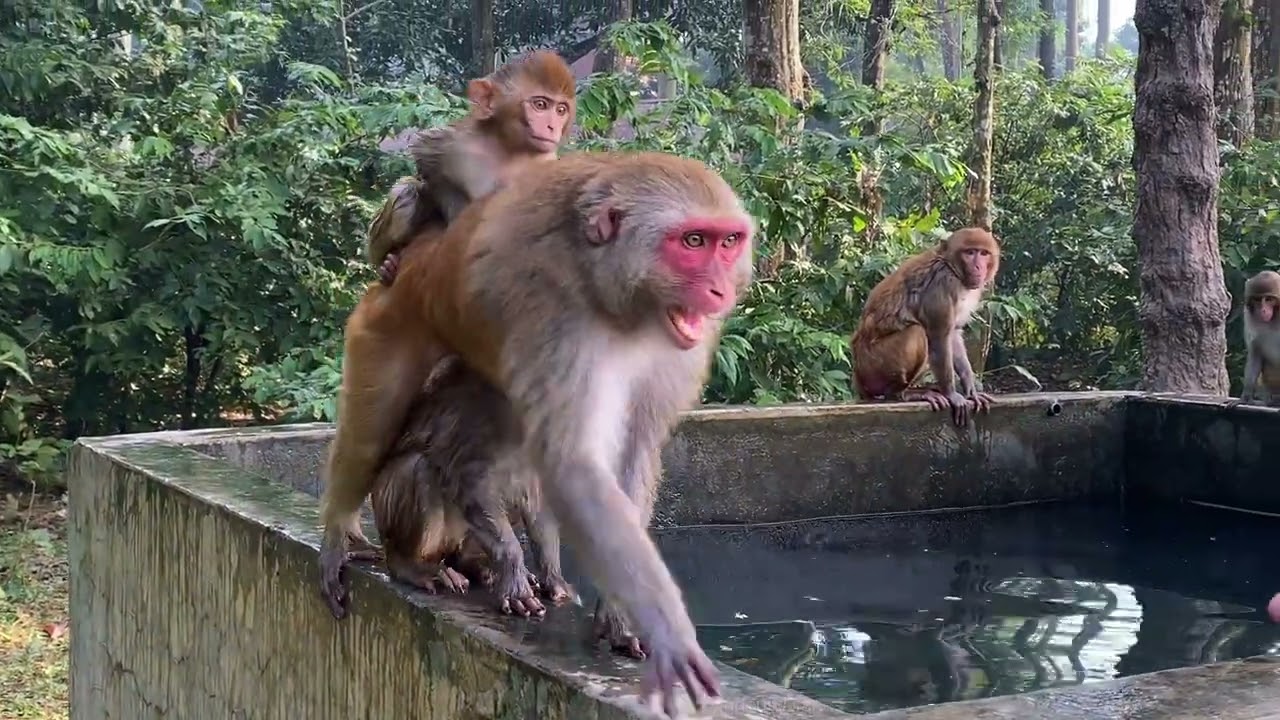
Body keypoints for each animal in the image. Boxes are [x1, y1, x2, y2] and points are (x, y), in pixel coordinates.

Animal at [365, 49, 576, 286]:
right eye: (540, 105)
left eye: (561, 110)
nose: (552, 127)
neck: (510, 147)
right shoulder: (459, 142)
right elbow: (426, 154)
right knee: (407, 191)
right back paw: (387, 264)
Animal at [368, 355, 572, 617]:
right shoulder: (481, 422)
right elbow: (472, 484)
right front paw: (517, 588)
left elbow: (539, 500)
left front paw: (554, 578)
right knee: (420, 467)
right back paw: (413, 567)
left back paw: (473, 564)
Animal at [850, 227, 1001, 428]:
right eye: (970, 253)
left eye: (984, 253)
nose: (978, 267)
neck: (950, 265)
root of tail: (857, 374)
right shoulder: (942, 283)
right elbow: (939, 338)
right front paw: (952, 394)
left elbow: (953, 334)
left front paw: (971, 390)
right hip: (873, 365)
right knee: (917, 332)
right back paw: (901, 394)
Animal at [1240, 270, 1280, 406]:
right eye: (1257, 299)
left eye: (1269, 299)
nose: (1263, 310)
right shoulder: (1248, 315)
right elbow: (1255, 351)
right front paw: (1246, 396)